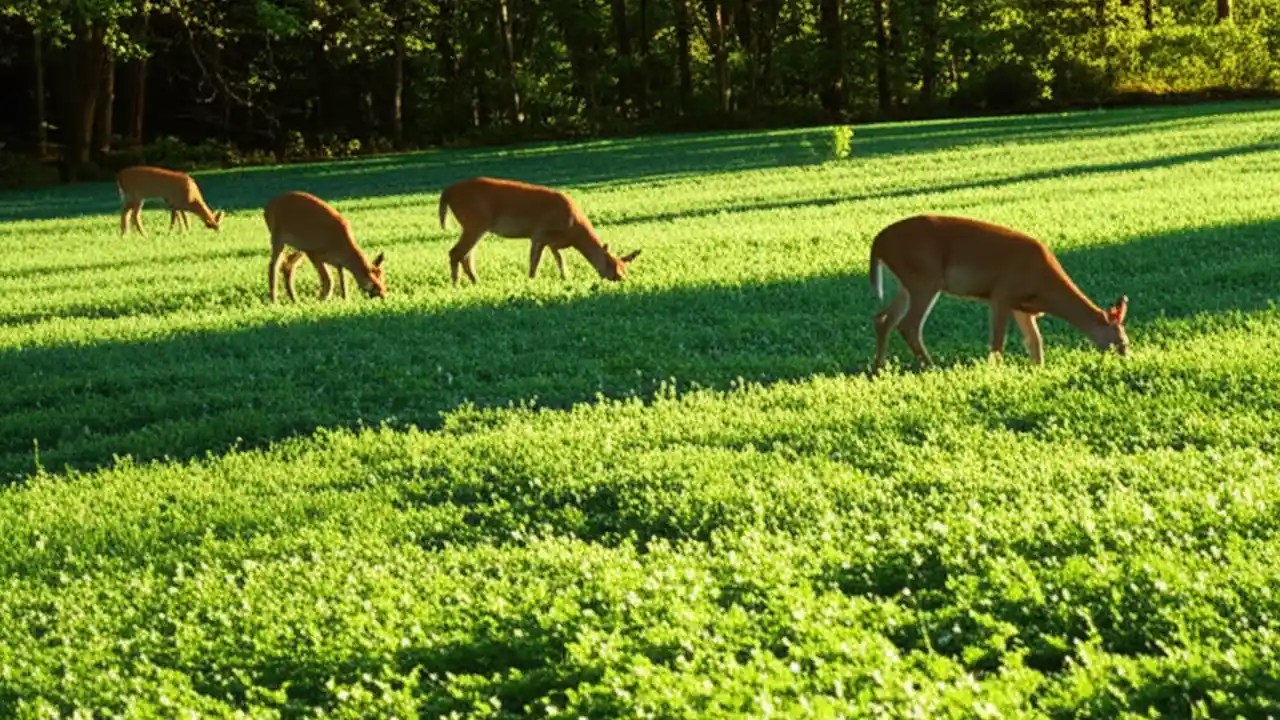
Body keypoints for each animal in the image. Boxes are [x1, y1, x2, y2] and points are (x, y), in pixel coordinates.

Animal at [437, 177, 640, 285]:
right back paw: (456, 284)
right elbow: (535, 261)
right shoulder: (540, 233)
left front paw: (565, 277)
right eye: (616, 271)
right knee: (456, 252)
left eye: (625, 269)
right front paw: (531, 280)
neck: (574, 231)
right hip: (475, 222)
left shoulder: (552, 241)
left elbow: (560, 260)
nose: (623, 280)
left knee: (466, 254)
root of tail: (446, 193)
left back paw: (474, 281)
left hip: (475, 226)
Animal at [868, 214, 1129, 375]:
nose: (1127, 356)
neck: (1045, 287)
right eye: (1122, 342)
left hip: (908, 281)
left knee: (883, 318)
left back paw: (879, 367)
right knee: (909, 324)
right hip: (924, 277)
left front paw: (1038, 370)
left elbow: (1035, 342)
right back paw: (931, 367)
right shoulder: (1001, 294)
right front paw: (995, 372)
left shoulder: (1023, 308)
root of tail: (878, 241)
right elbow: (998, 341)